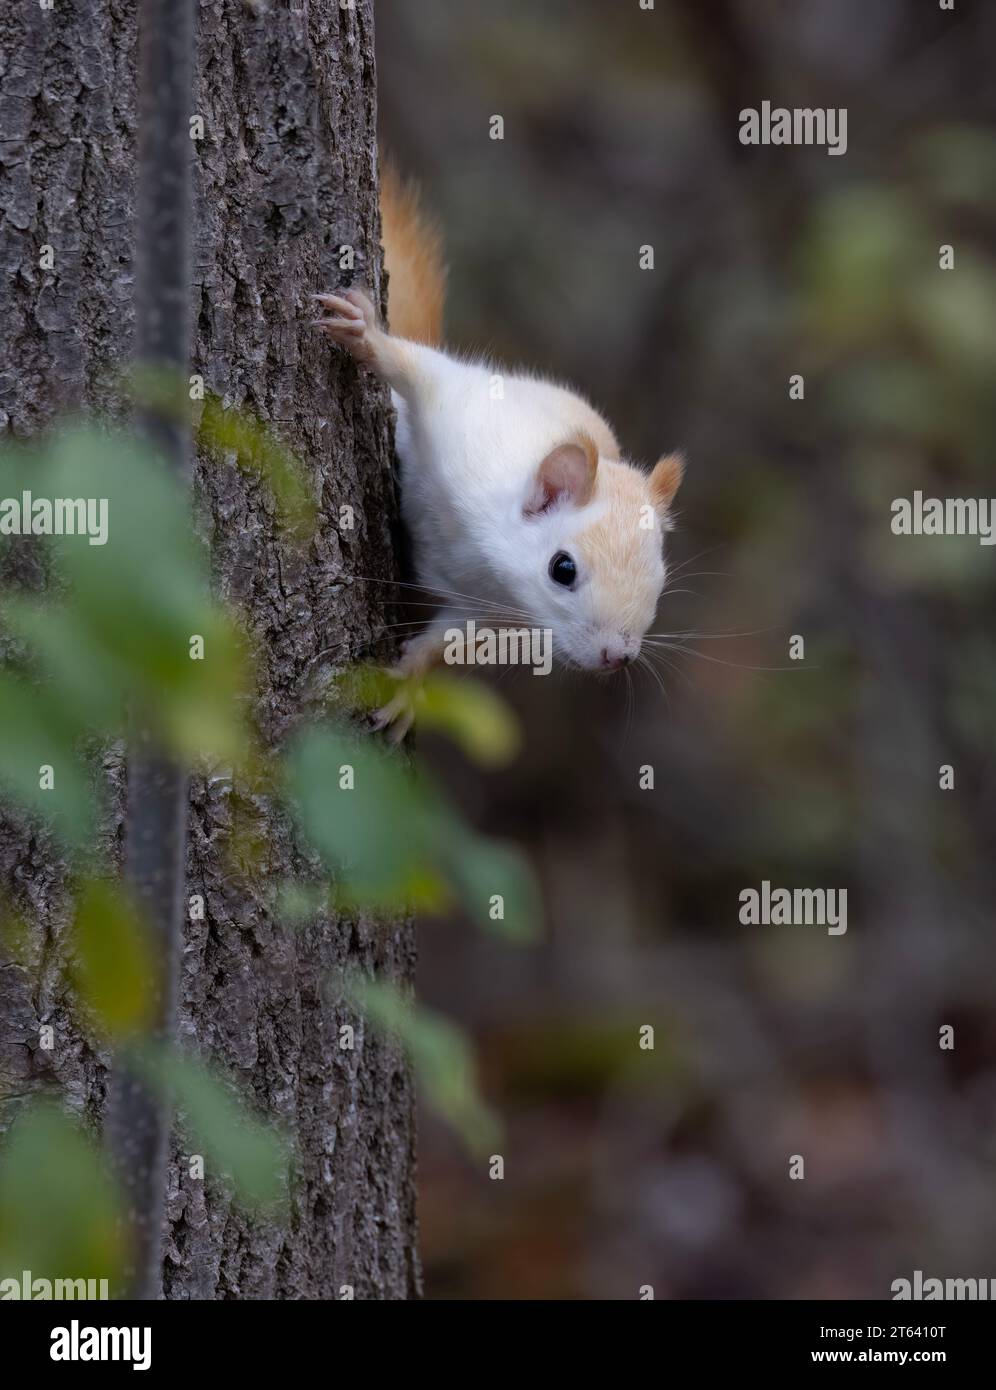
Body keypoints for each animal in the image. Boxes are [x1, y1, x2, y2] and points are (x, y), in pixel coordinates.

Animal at [313, 162, 684, 735]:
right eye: (562, 569)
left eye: (659, 577)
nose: (616, 656)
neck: (490, 560)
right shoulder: (464, 420)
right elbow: (419, 372)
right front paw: (367, 337)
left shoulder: (483, 611)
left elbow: (447, 639)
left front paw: (408, 684)